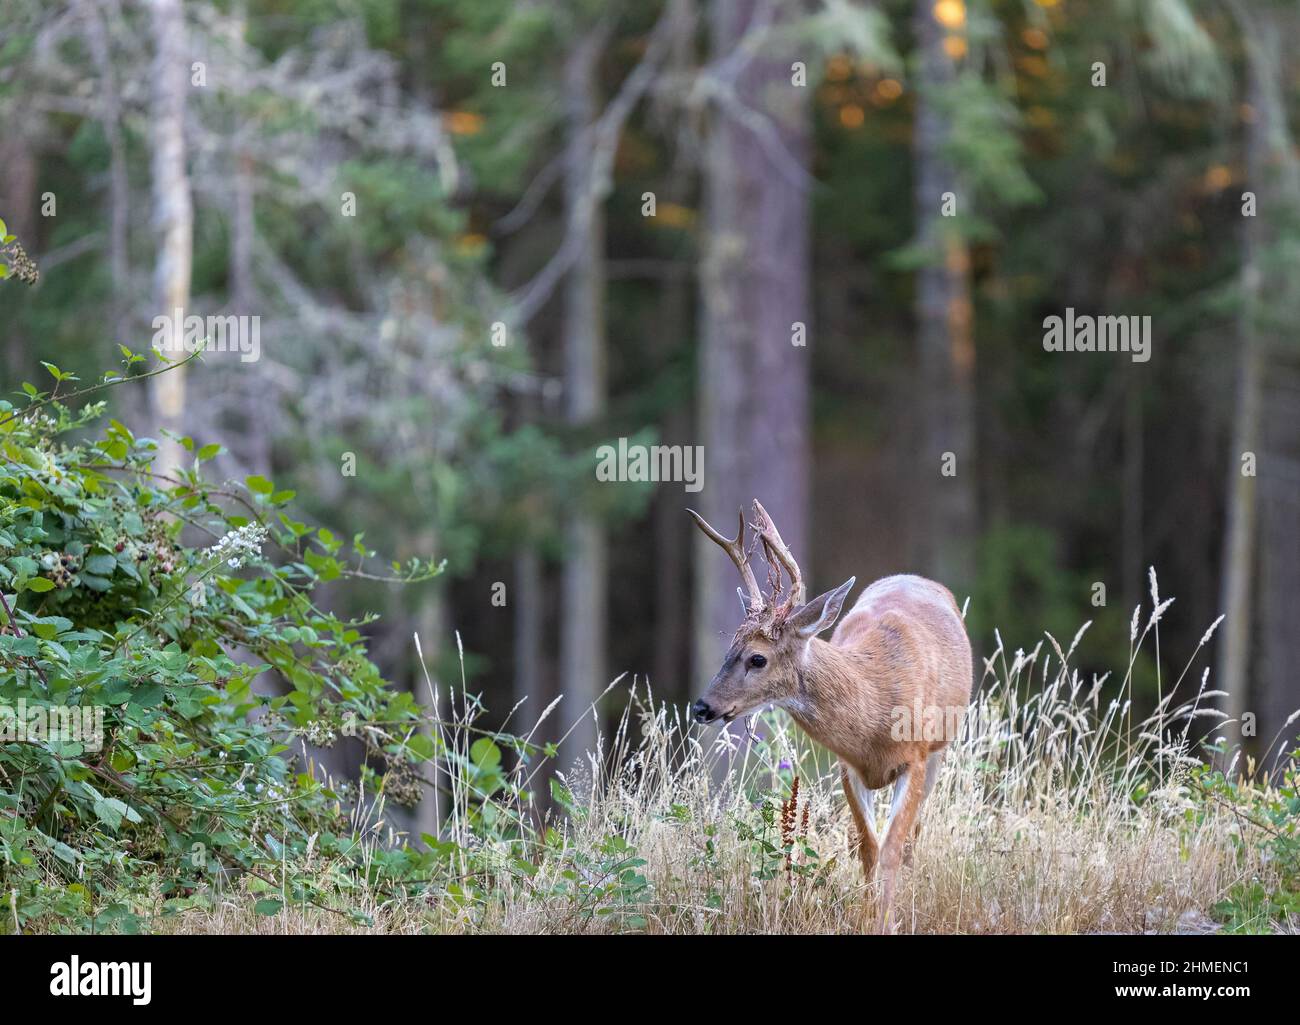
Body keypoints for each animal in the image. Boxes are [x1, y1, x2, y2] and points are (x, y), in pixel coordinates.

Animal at [688, 500, 972, 933]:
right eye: (728, 650)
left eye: (757, 658)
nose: (702, 706)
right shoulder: (846, 766)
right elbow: (868, 847)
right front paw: (871, 916)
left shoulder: (916, 757)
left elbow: (892, 847)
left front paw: (887, 921)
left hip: (941, 747)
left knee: (914, 836)